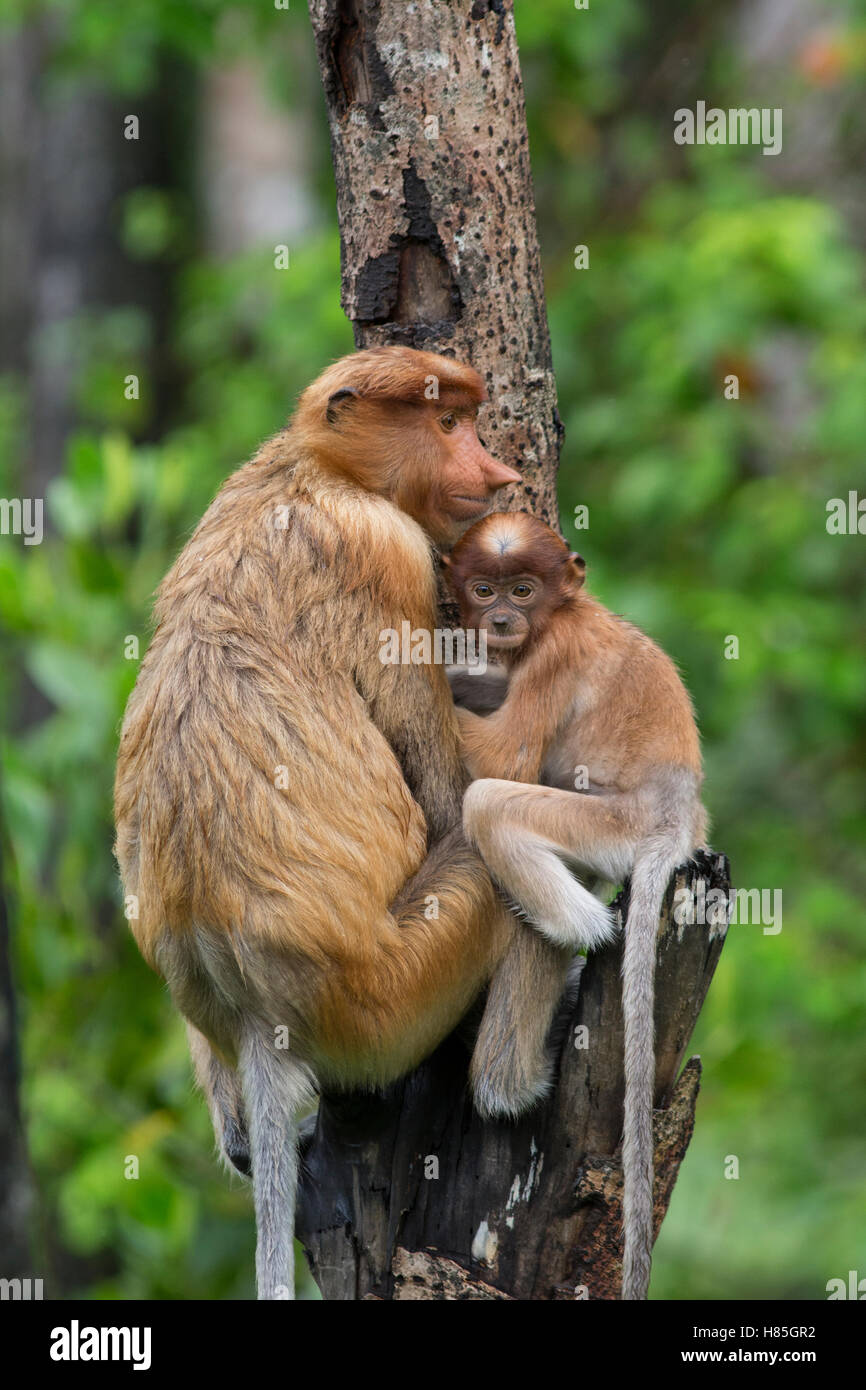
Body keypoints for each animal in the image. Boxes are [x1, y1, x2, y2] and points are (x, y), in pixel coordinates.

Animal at [114, 346, 578, 1299]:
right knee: (493, 854)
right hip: (388, 995)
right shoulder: (388, 553)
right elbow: (444, 791)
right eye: (447, 421)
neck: (315, 472)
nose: (496, 474)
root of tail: (258, 1014)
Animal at [443, 511, 708, 1301]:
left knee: (491, 803)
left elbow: (504, 757)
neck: (565, 611)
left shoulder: (554, 655)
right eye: (485, 588)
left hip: (610, 825)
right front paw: (463, 664)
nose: (501, 620)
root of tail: (675, 823)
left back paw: (584, 933)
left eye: (524, 590)